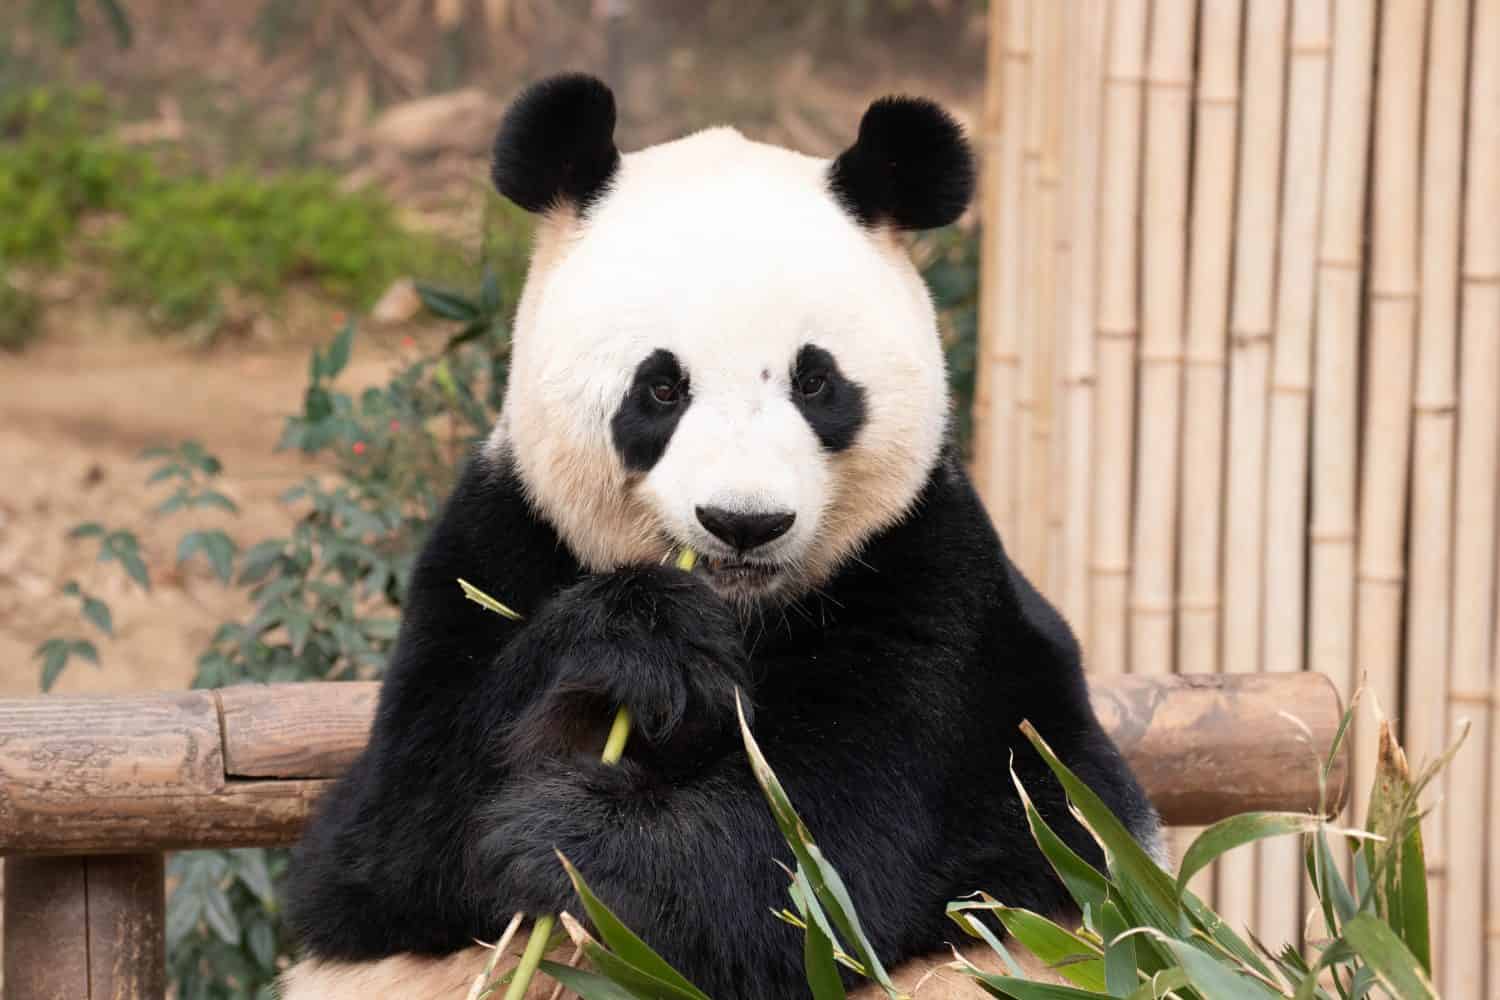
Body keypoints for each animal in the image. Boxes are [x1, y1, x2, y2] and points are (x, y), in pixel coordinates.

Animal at [279, 74, 1162, 999]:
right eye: (662, 388)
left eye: (816, 383)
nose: (744, 522)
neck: (744, 611)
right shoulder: (497, 541)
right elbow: (384, 849)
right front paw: (637, 645)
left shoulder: (926, 585)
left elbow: (822, 865)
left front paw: (576, 838)